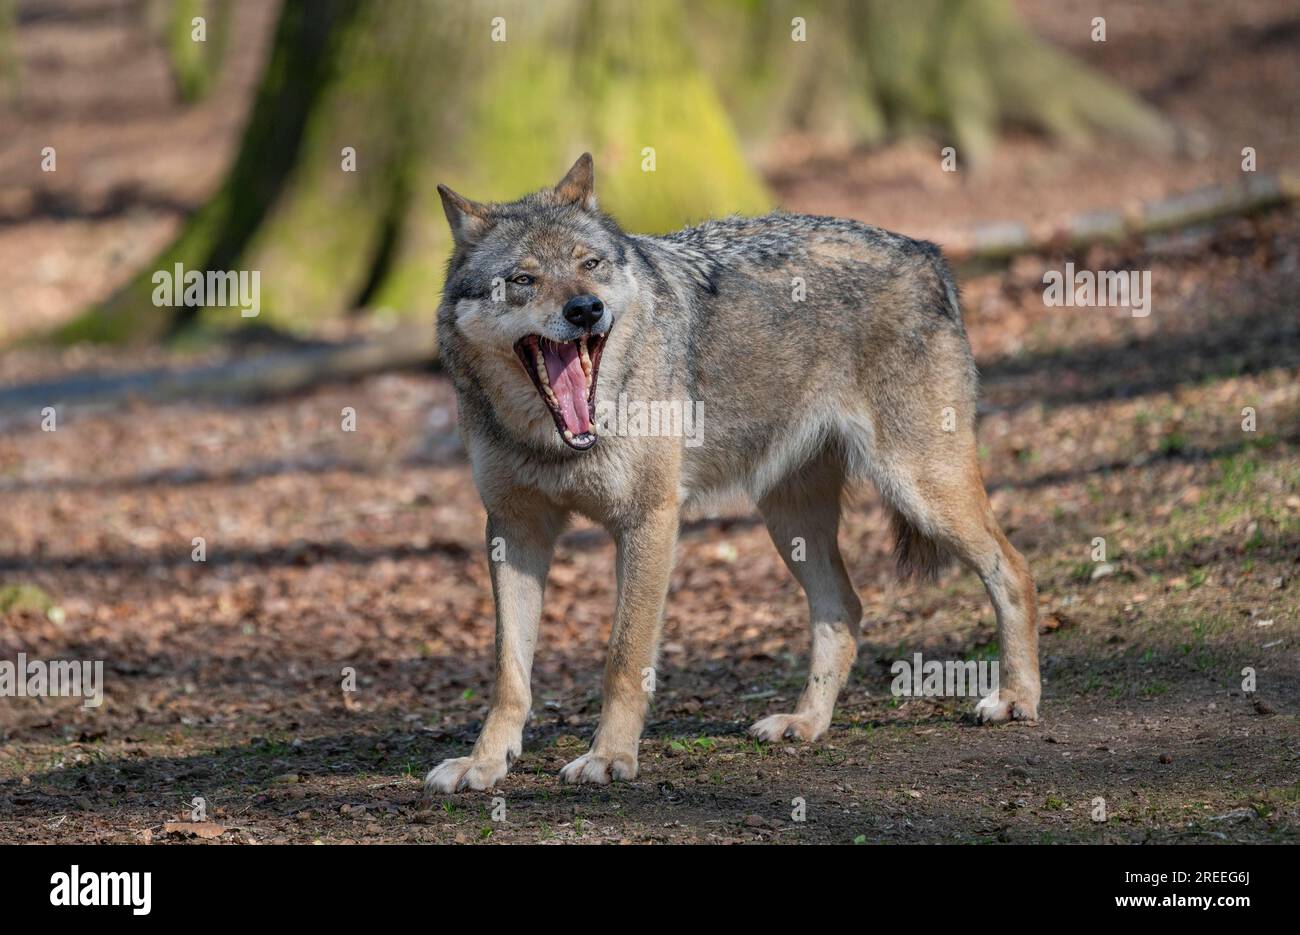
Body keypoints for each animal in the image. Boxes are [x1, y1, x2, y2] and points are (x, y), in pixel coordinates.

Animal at [425, 154, 1039, 793]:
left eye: (588, 265)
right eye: (522, 280)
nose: (586, 309)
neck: (556, 439)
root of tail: (926, 251)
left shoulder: (649, 521)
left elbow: (624, 657)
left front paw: (610, 756)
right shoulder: (513, 530)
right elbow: (508, 672)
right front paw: (484, 762)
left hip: (921, 489)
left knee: (1014, 569)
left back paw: (1015, 698)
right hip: (791, 521)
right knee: (845, 610)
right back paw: (805, 724)